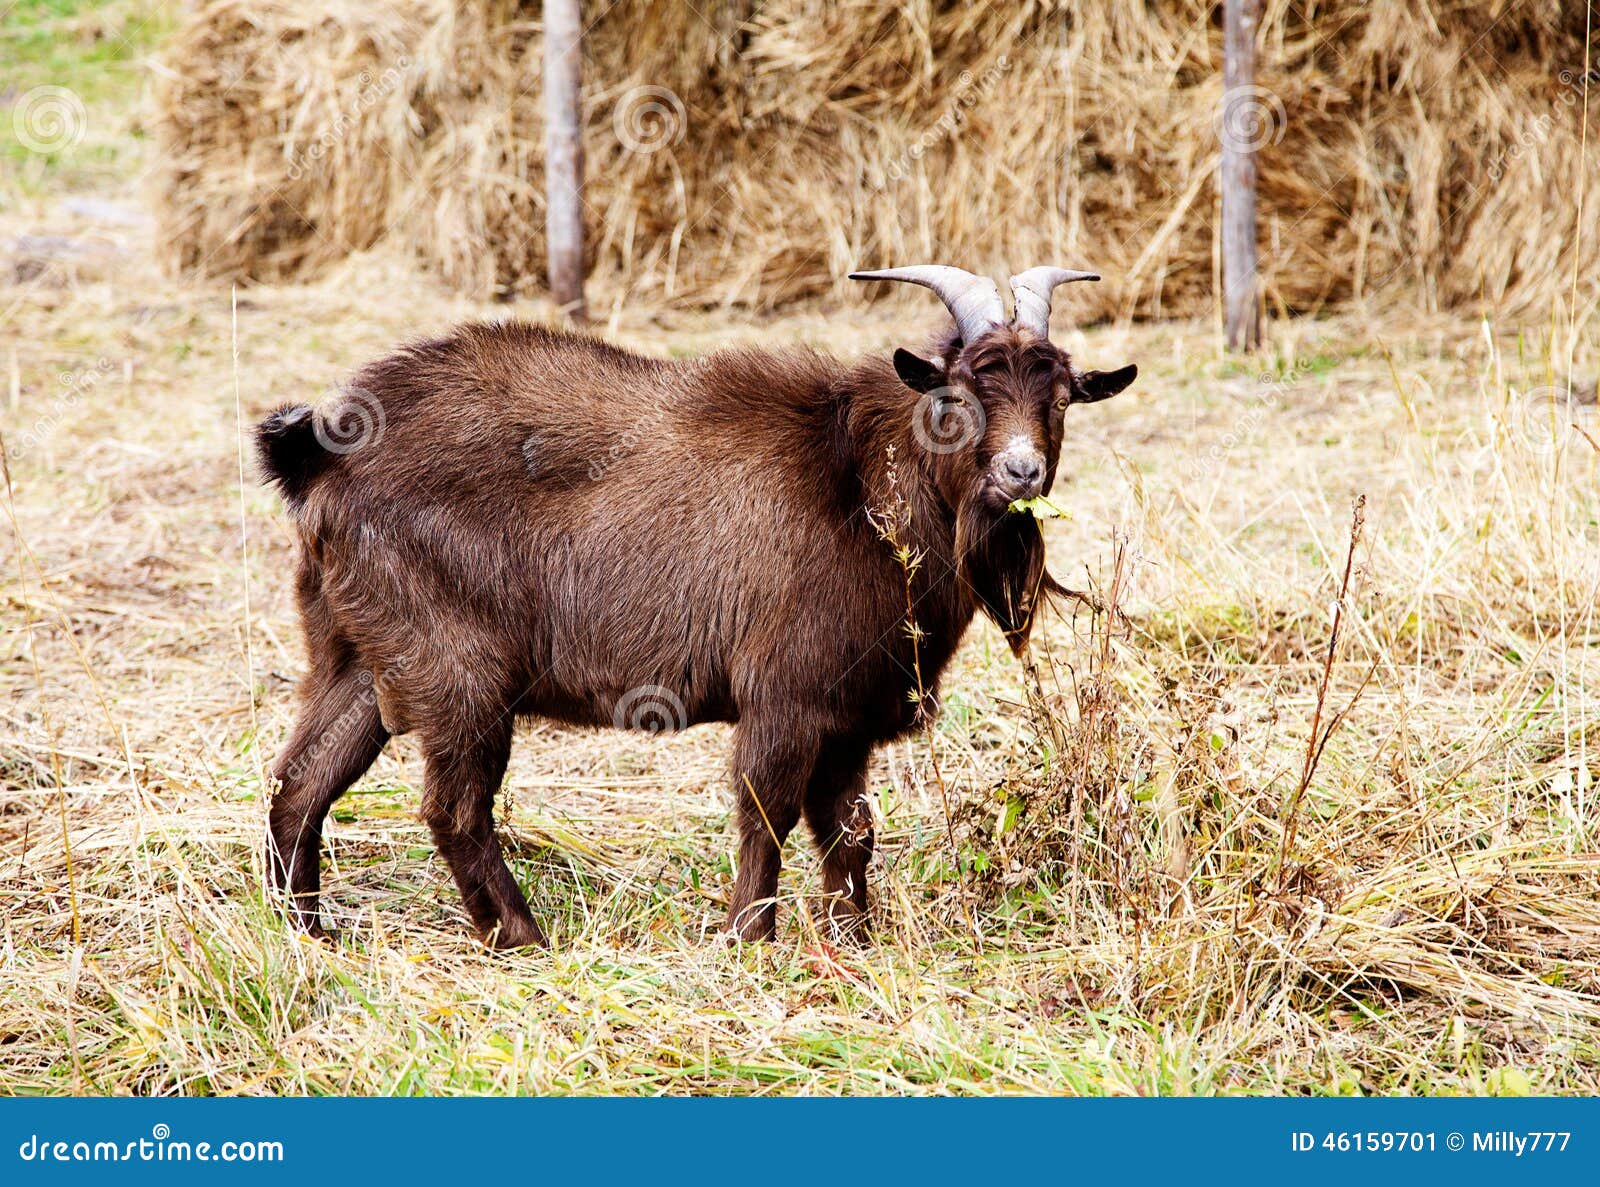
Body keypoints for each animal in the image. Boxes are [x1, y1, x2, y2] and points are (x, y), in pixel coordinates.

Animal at [258, 264, 1138, 948]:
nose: (1021, 473)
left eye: (1062, 398)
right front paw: (751, 937)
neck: (861, 481)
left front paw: (854, 937)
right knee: (454, 806)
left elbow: (850, 830)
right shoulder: (787, 696)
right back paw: (523, 936)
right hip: (457, 673)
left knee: (299, 782)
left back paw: (308, 929)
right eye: (955, 398)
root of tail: (323, 452)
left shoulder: (849, 717)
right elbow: (767, 812)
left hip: (356, 657)